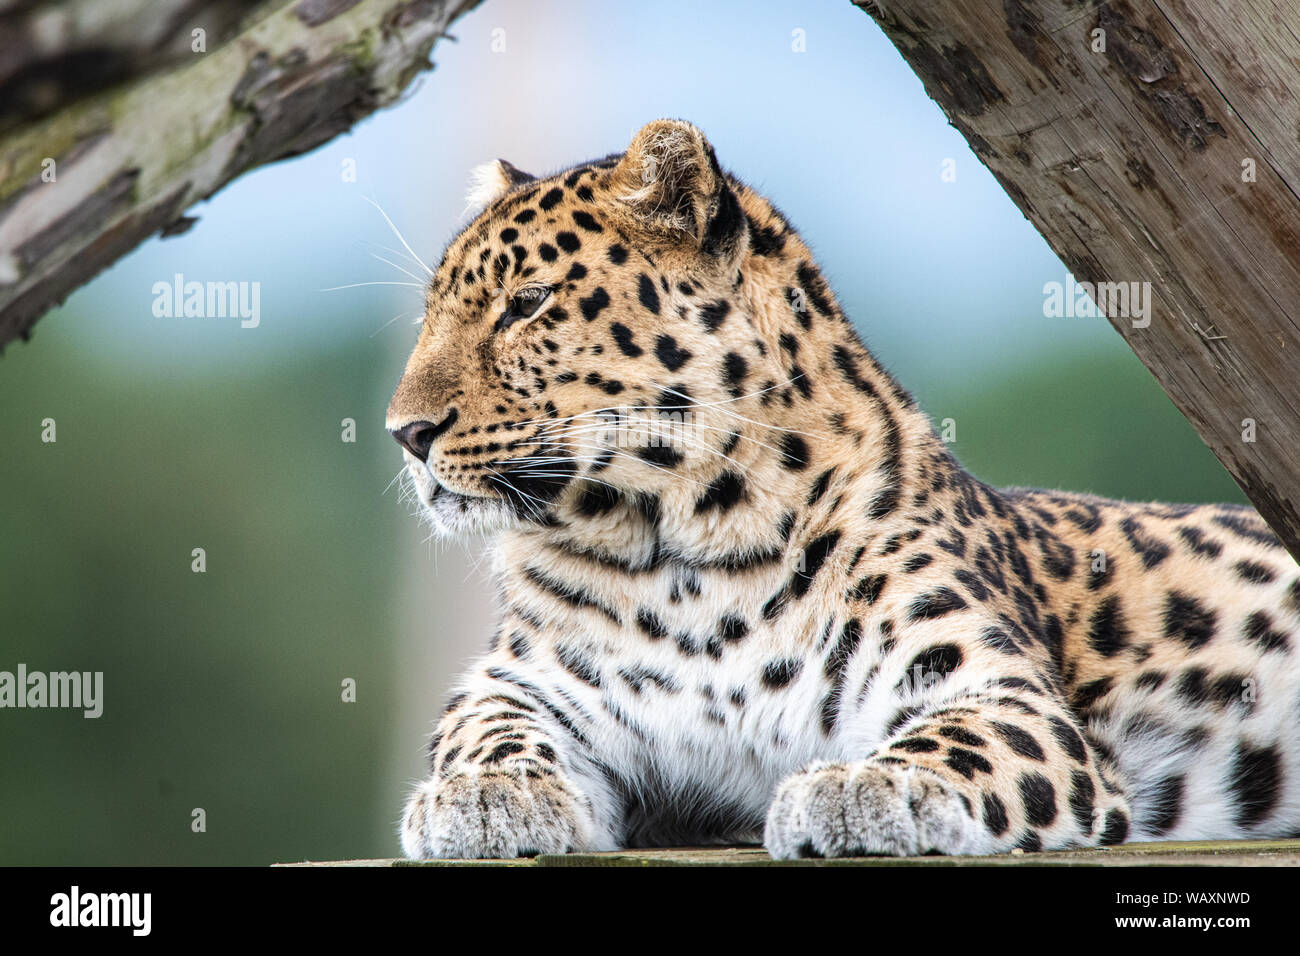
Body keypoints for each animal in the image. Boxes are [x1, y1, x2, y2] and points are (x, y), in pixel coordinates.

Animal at [385, 119, 1300, 859]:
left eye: (526, 304)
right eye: (432, 315)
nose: (405, 431)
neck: (681, 544)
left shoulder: (1004, 693)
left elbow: (956, 741)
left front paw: (866, 787)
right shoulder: (520, 679)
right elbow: (486, 728)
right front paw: (484, 795)